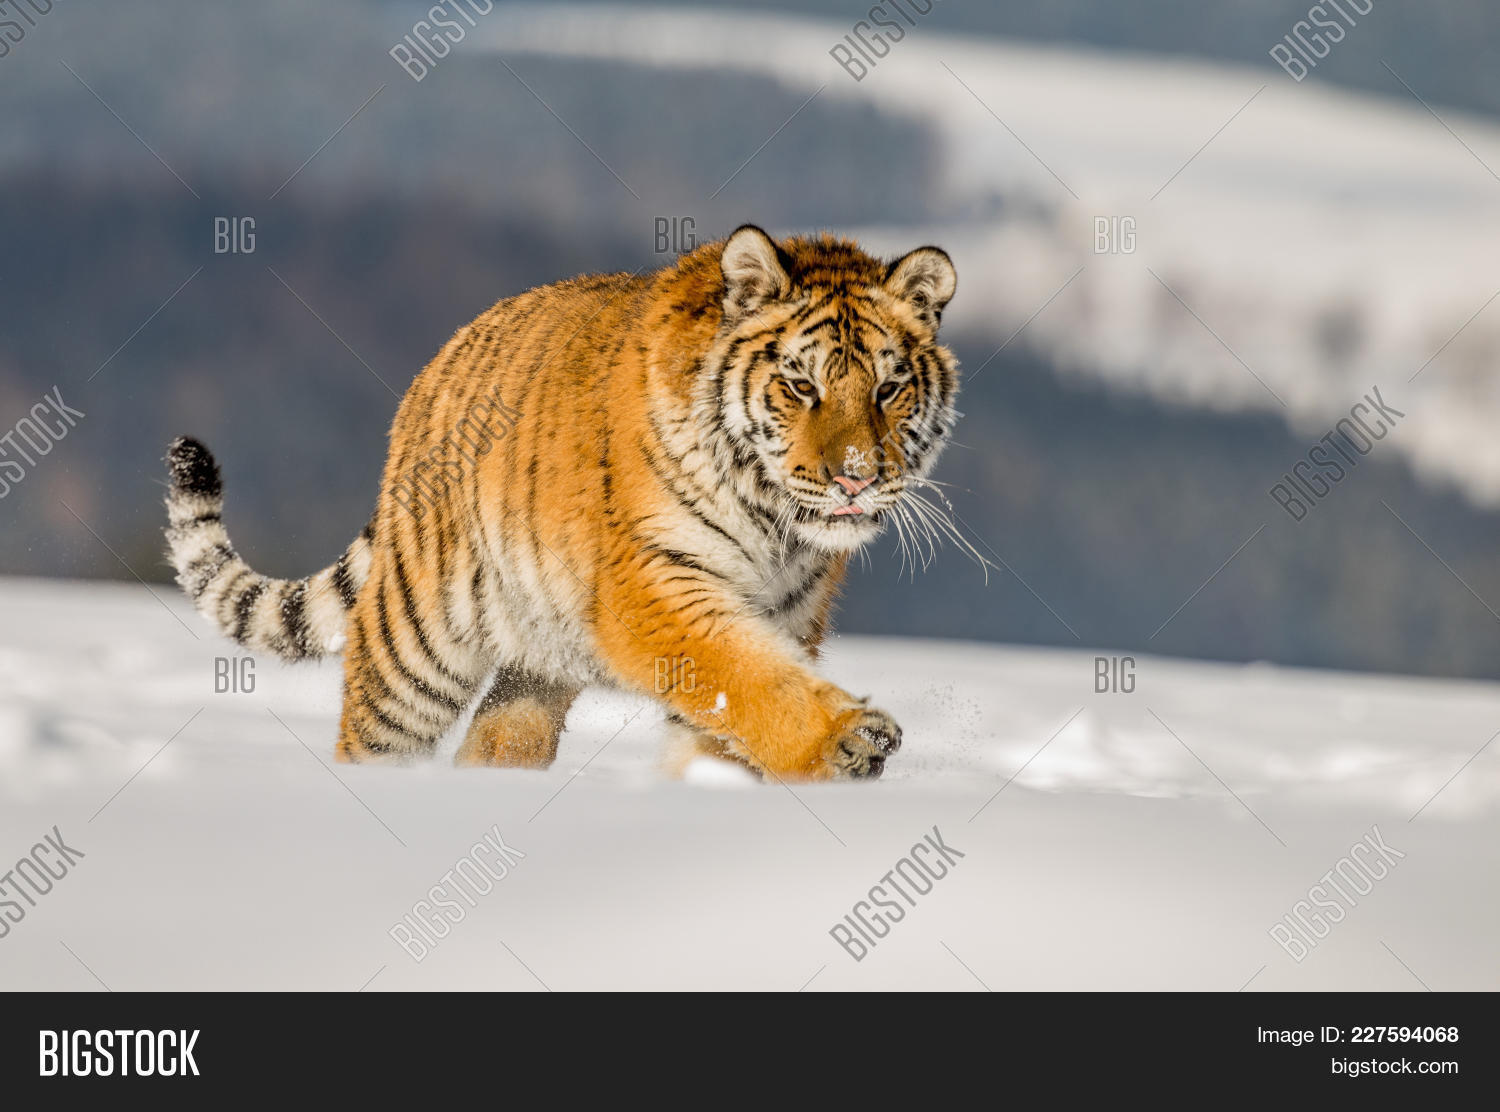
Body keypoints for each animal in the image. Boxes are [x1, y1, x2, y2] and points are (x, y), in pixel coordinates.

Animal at [163, 225, 959, 781]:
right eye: (801, 386)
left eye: (889, 389)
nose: (855, 478)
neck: (777, 528)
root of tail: (435, 367)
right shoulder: (656, 585)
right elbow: (748, 677)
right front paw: (848, 740)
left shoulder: (789, 614)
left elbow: (731, 712)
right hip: (414, 643)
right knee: (375, 735)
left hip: (535, 663)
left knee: (494, 744)